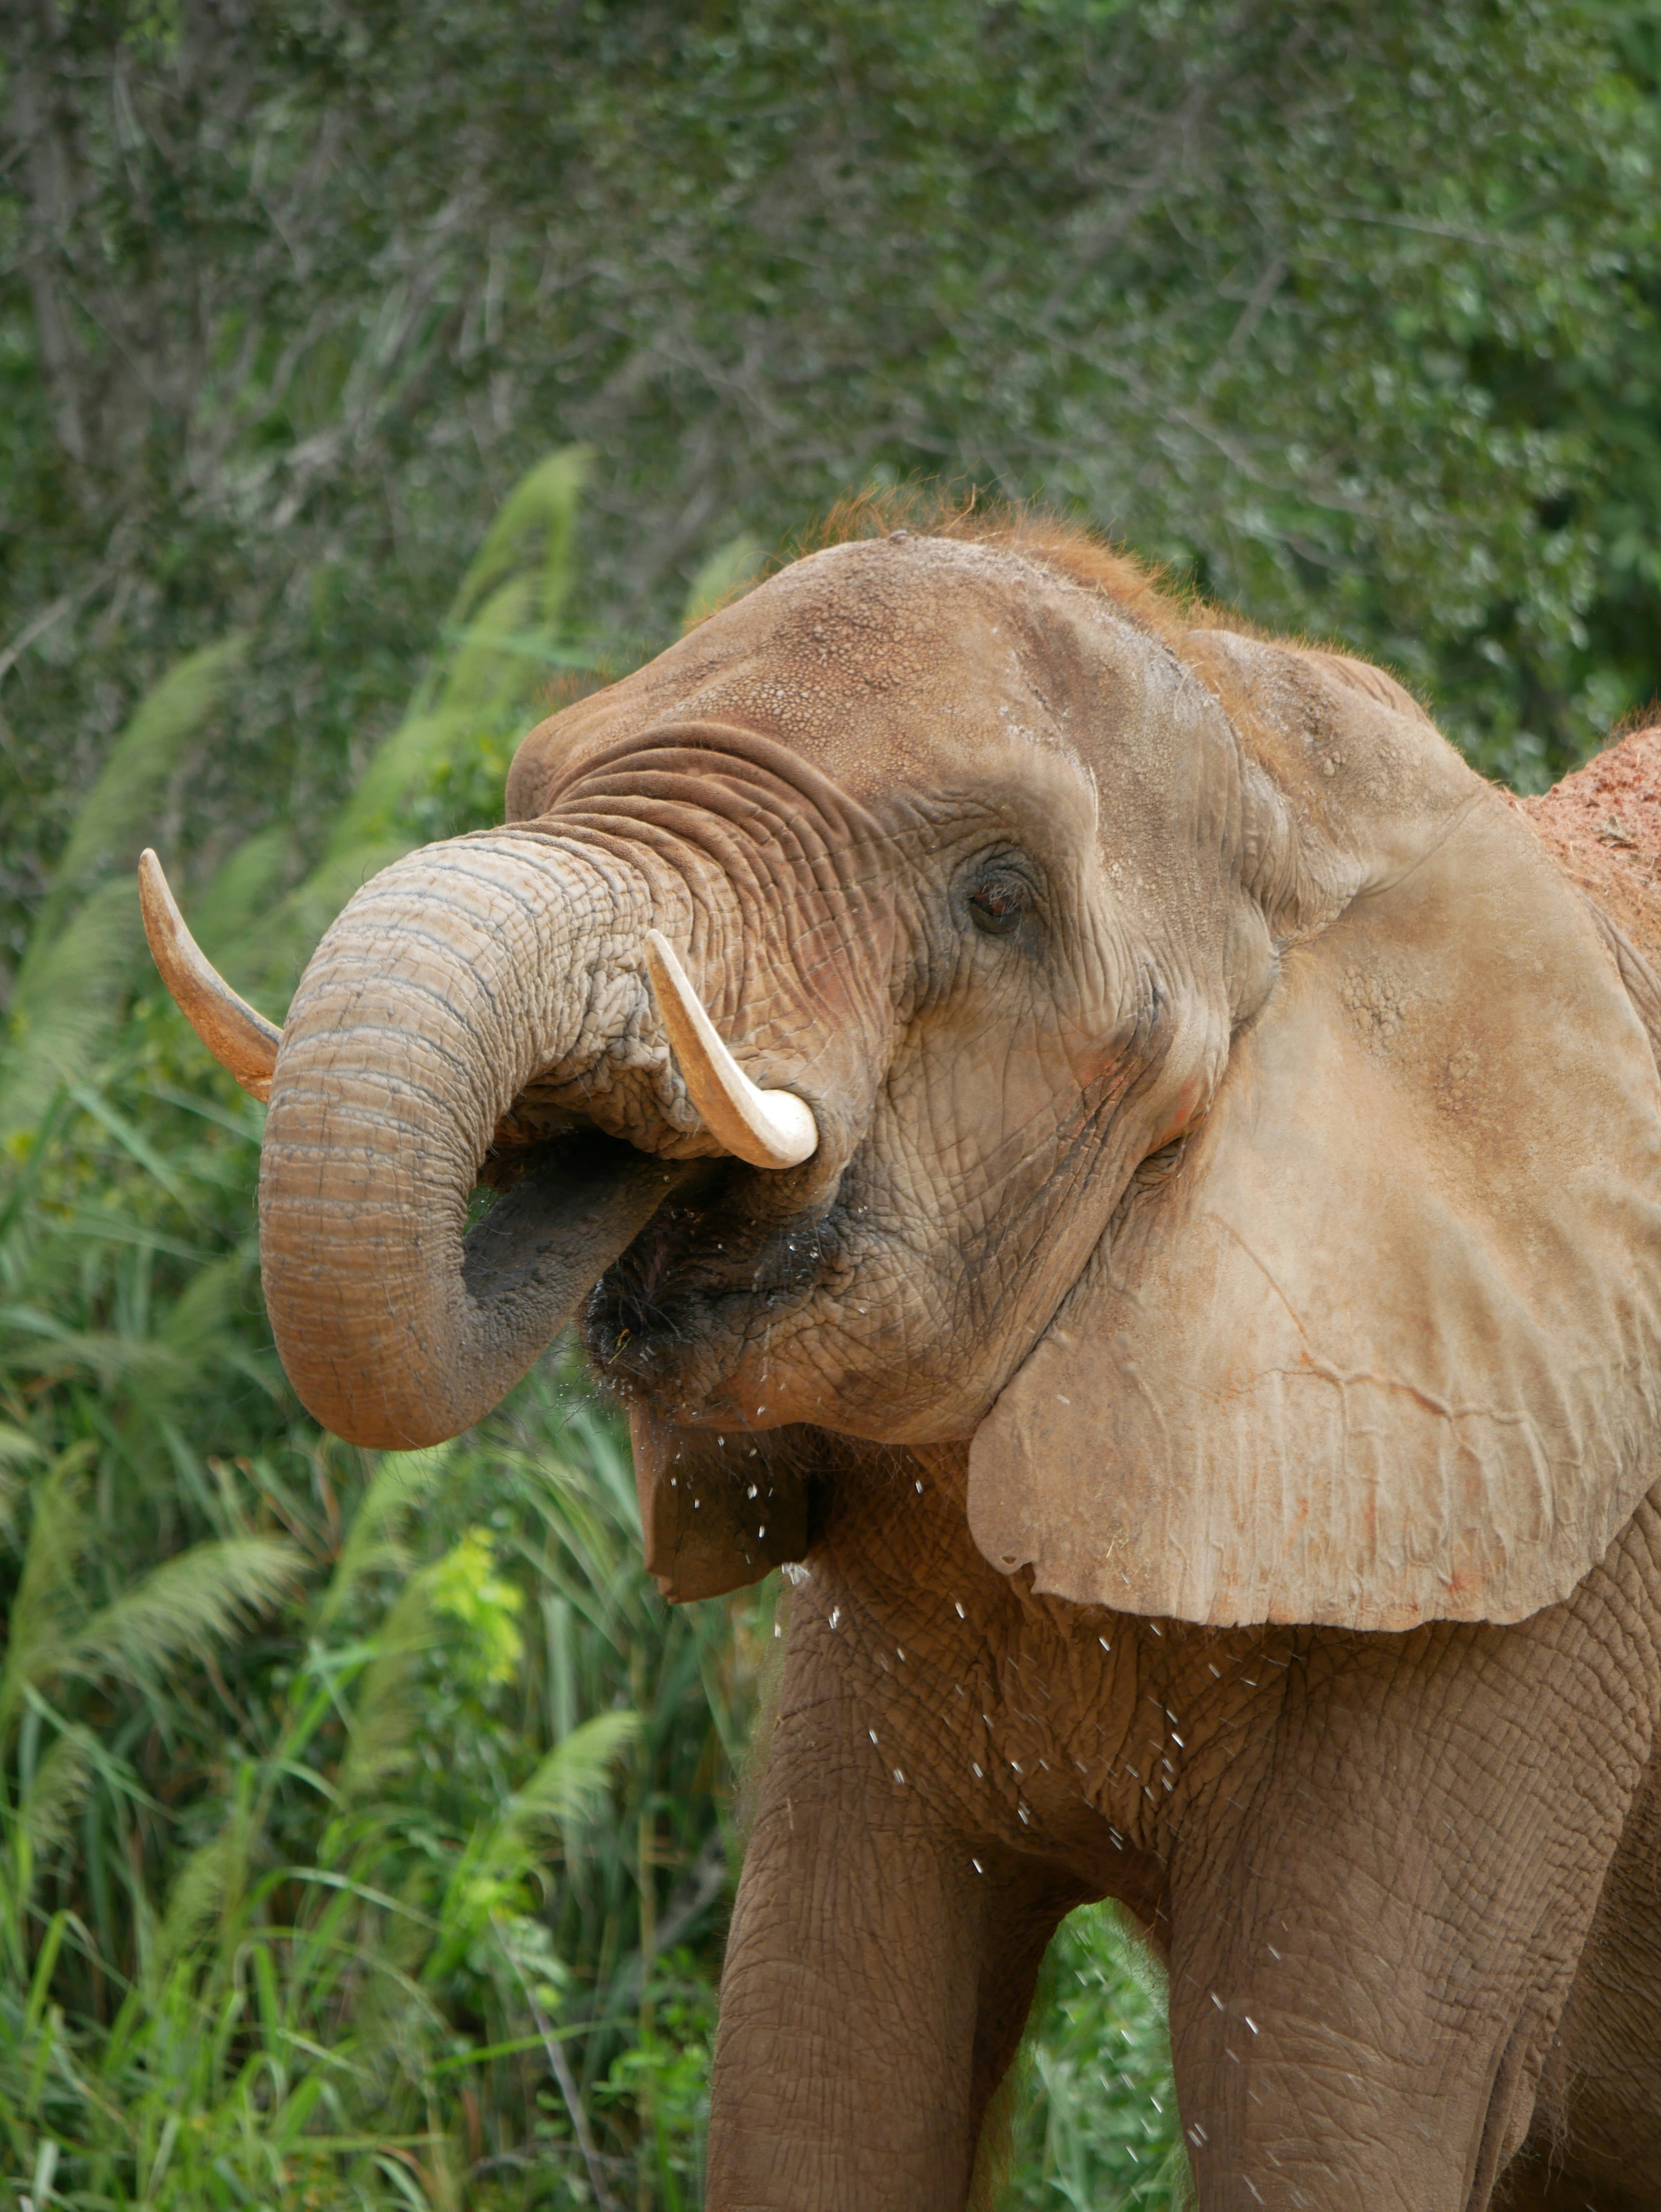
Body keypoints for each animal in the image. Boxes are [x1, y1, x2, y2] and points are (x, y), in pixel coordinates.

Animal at [141, 513, 1661, 2212]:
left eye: (999, 898)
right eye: (535, 781)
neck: (1285, 761)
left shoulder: (1535, 1568)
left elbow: (1326, 2117)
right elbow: (818, 2068)